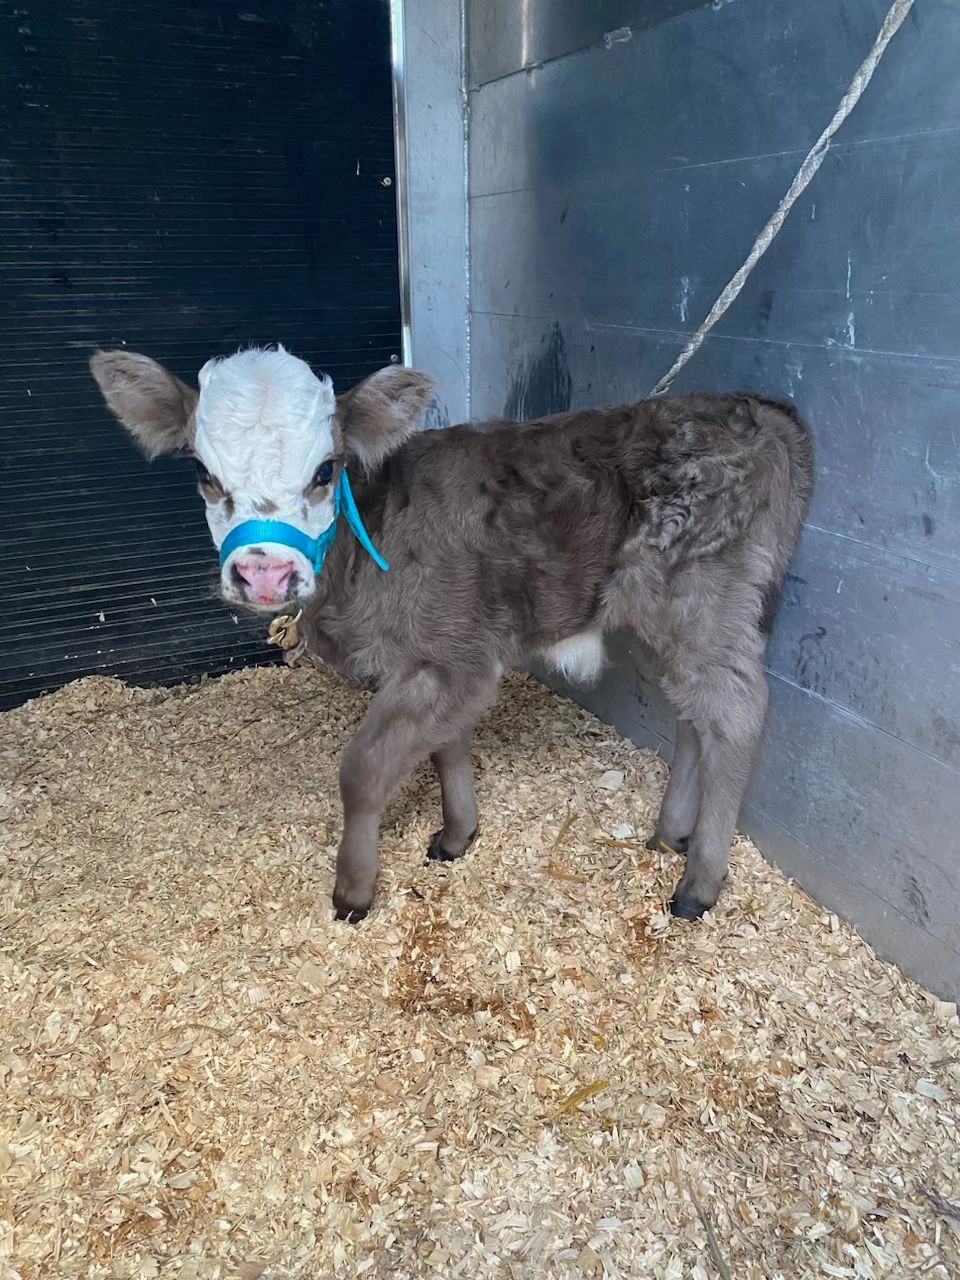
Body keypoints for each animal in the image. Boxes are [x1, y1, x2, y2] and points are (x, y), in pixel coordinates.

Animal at [89, 345, 814, 923]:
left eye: (326, 470)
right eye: (204, 475)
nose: (264, 575)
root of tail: (752, 407)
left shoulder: (452, 660)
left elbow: (362, 770)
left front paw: (353, 891)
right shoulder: (439, 661)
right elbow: (446, 748)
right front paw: (458, 834)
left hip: (705, 599)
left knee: (735, 713)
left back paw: (699, 883)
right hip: (680, 617)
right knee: (695, 716)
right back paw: (670, 834)